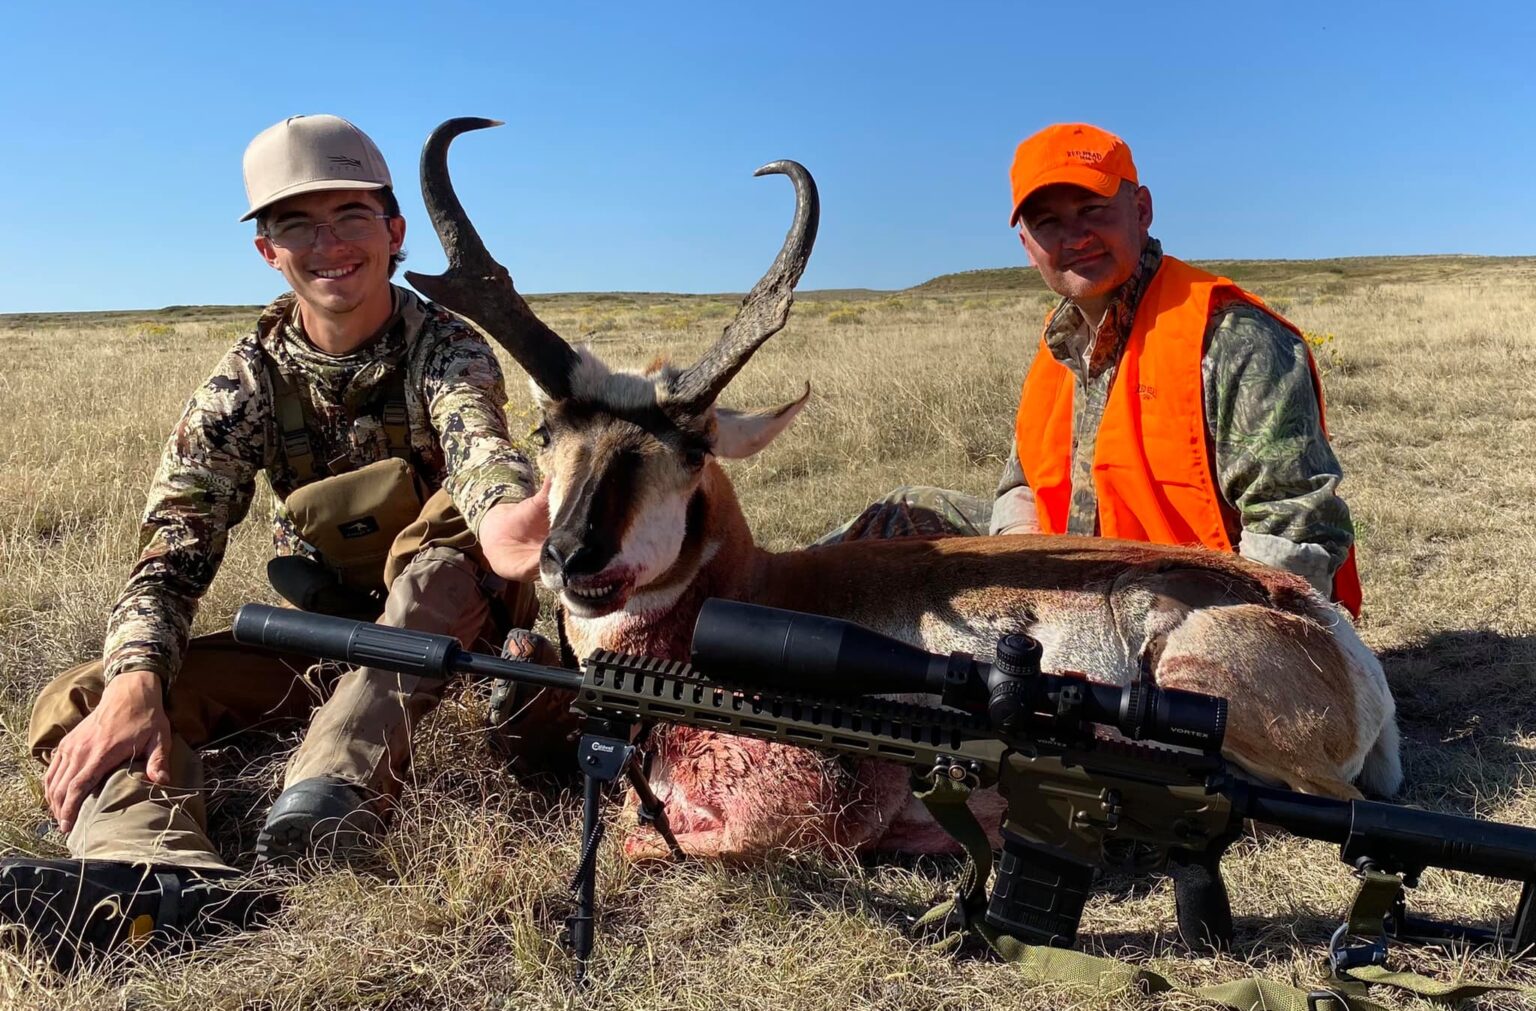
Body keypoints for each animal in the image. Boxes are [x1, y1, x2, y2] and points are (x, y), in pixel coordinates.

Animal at [405, 119, 1402, 862]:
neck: (743, 591)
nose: (573, 557)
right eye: (548, 434)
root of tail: (1315, 617)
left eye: (689, 446)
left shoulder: (799, 806)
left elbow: (638, 833)